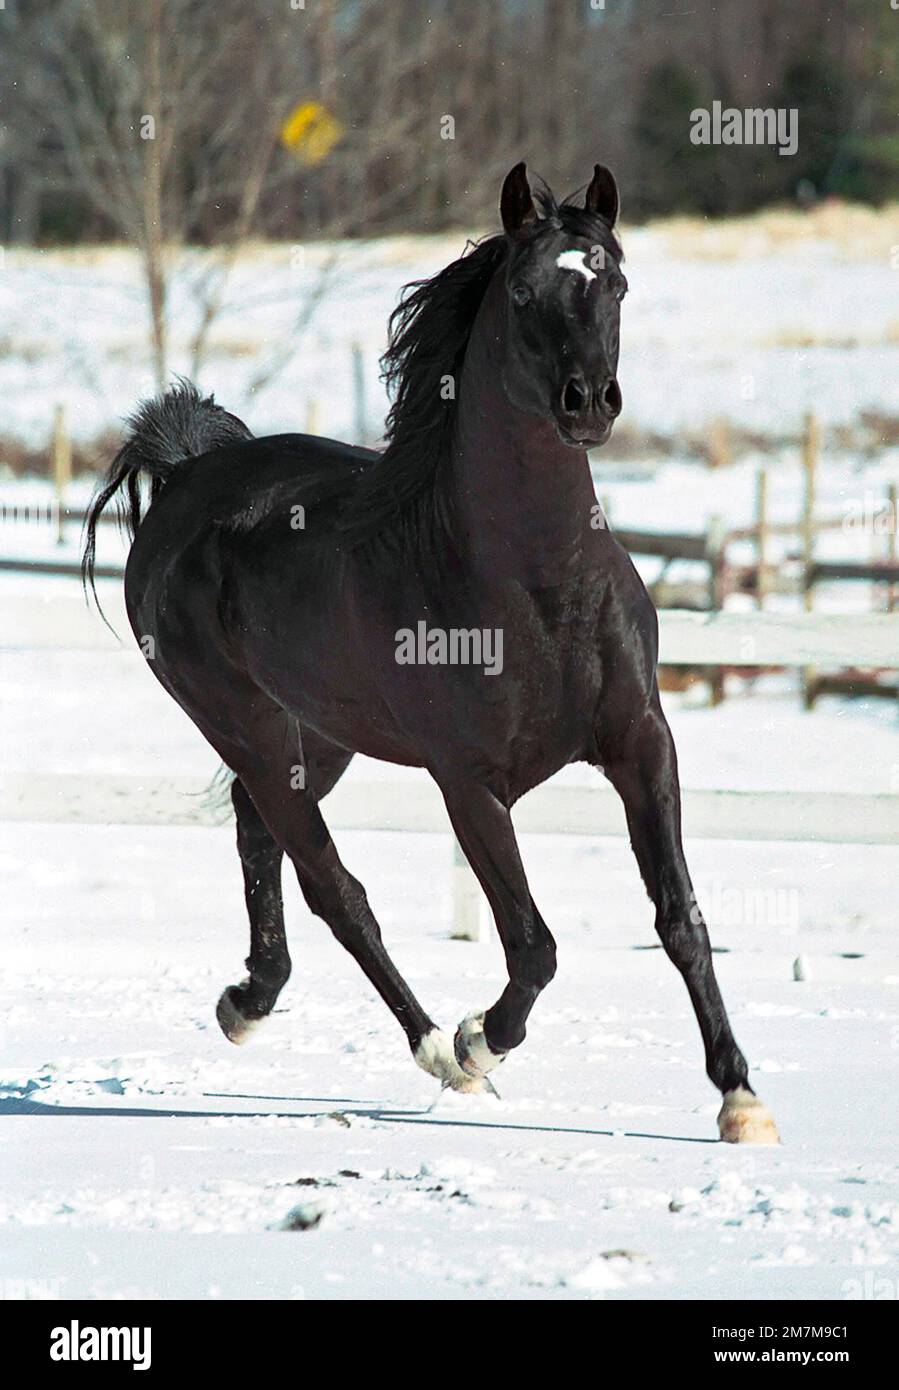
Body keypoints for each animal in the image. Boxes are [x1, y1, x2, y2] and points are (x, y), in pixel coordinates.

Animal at [83, 161, 779, 1143]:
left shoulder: (642, 743)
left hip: (316, 736)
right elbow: (533, 946)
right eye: (523, 290)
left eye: (615, 281)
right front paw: (478, 1041)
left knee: (261, 837)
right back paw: (435, 1055)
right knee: (336, 890)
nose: (588, 404)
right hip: (244, 726)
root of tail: (185, 477)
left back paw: (248, 1000)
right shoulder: (469, 783)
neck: (537, 586)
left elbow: (679, 918)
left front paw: (740, 1100)